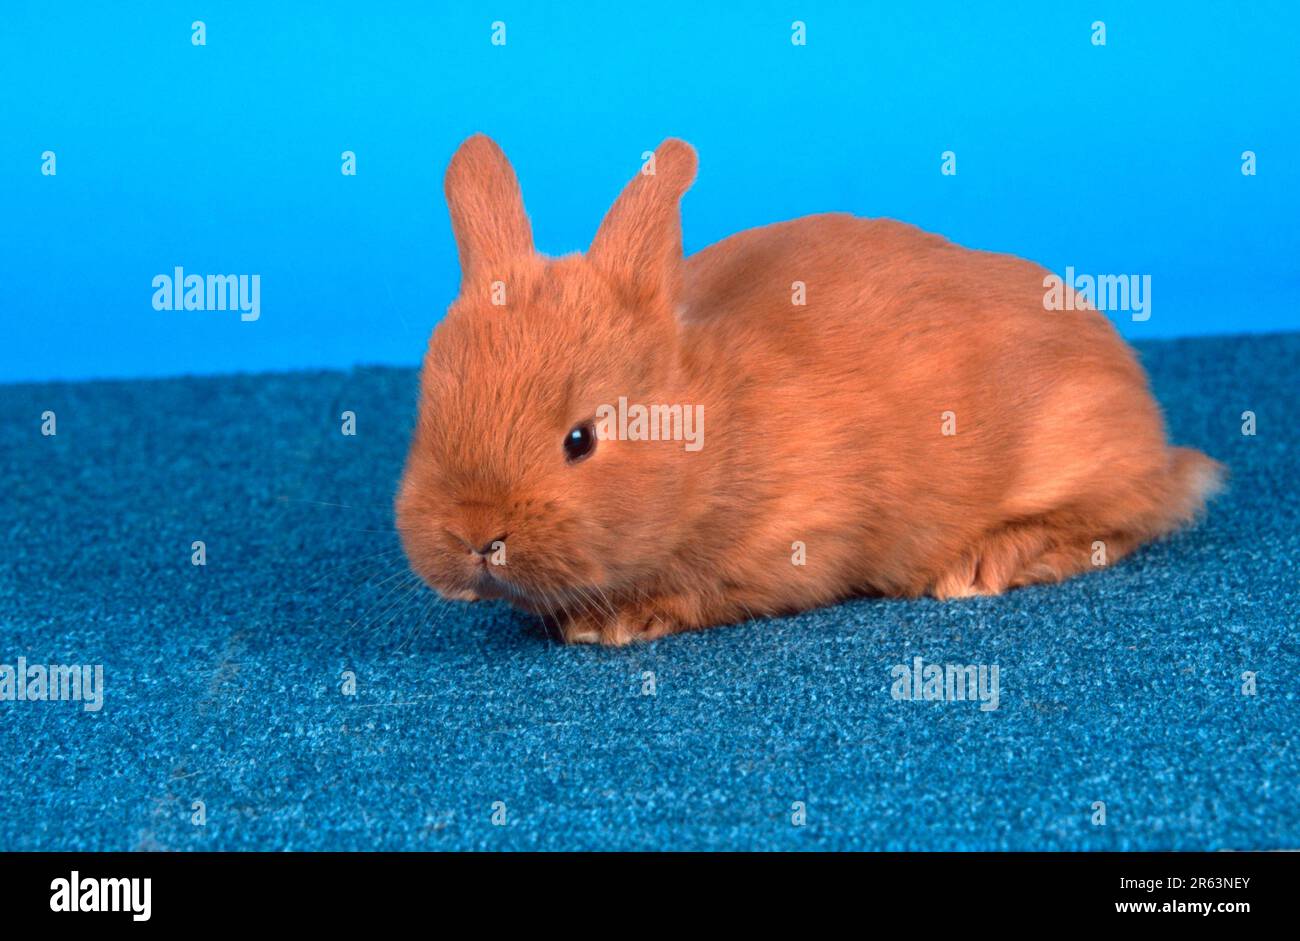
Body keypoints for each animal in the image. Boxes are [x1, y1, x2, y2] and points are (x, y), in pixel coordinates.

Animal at [395, 134, 1224, 646]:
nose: (475, 536)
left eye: (580, 439)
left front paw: (618, 621)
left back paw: (984, 562)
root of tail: (1148, 421)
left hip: (1079, 441)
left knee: (1125, 519)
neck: (711, 427)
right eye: (427, 411)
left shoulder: (801, 537)